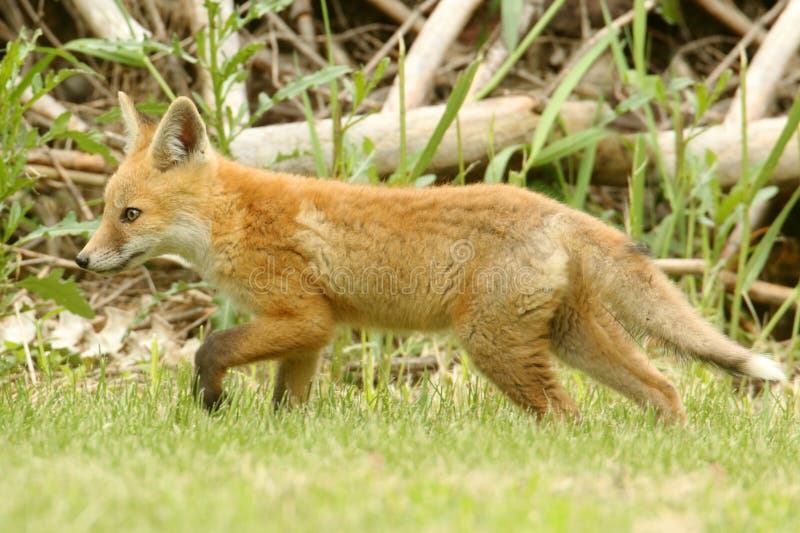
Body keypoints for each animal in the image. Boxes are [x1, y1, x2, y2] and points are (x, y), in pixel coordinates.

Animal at [76, 92, 785, 422]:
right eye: (106, 209)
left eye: (128, 215)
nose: (82, 262)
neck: (235, 218)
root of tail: (556, 208)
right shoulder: (310, 332)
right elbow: (288, 404)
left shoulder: (301, 316)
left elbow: (210, 348)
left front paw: (212, 403)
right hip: (571, 335)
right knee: (664, 388)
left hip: (494, 342)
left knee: (567, 414)